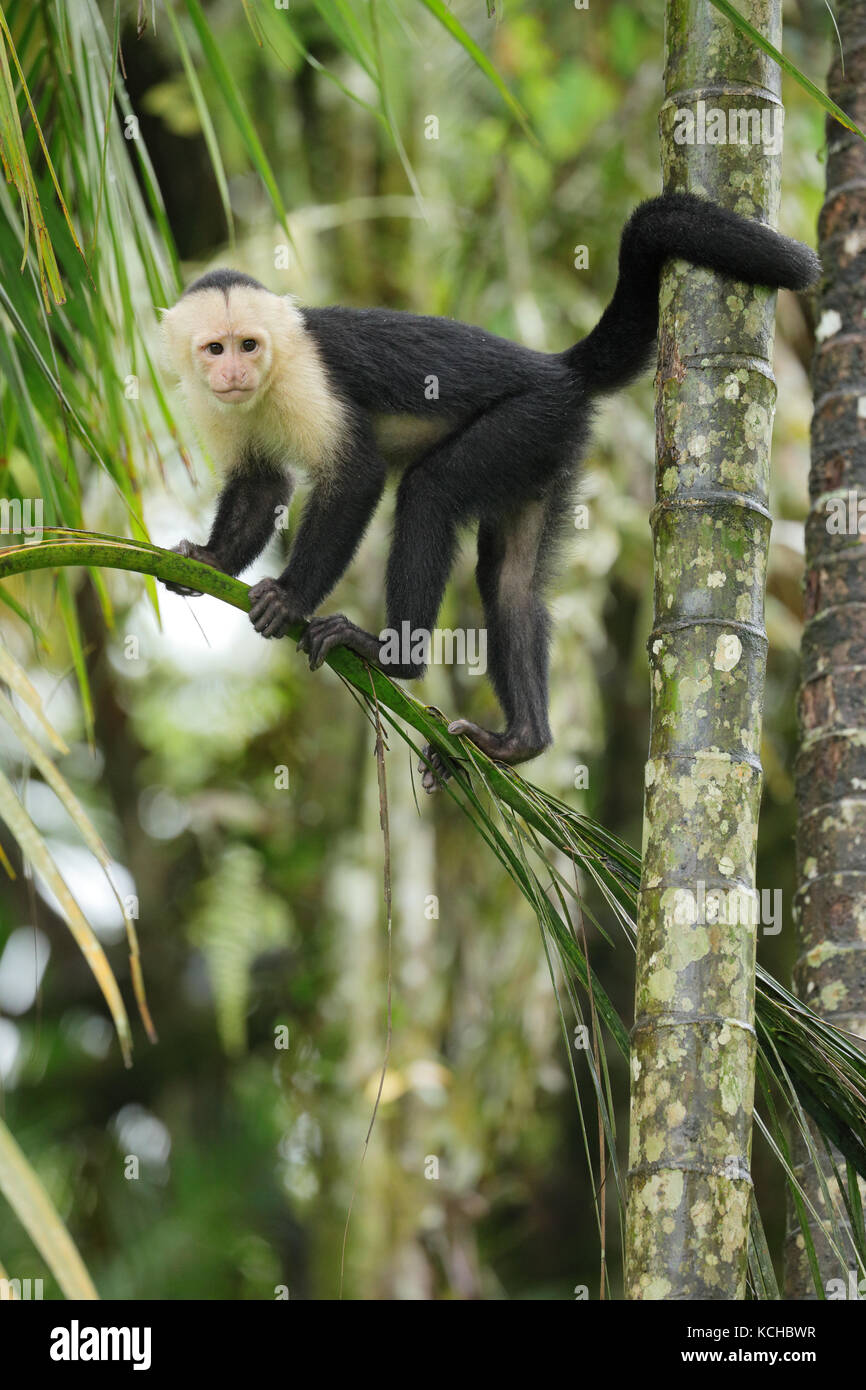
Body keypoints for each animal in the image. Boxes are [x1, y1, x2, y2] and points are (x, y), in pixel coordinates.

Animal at [159, 193, 819, 791]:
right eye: (215, 349)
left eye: (249, 344)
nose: (234, 372)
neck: (269, 381)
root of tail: (557, 368)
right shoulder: (211, 402)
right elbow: (260, 482)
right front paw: (209, 560)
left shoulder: (307, 376)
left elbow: (357, 475)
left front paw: (291, 598)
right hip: (548, 450)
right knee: (510, 582)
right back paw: (521, 739)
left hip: (530, 418)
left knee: (429, 494)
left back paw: (392, 657)